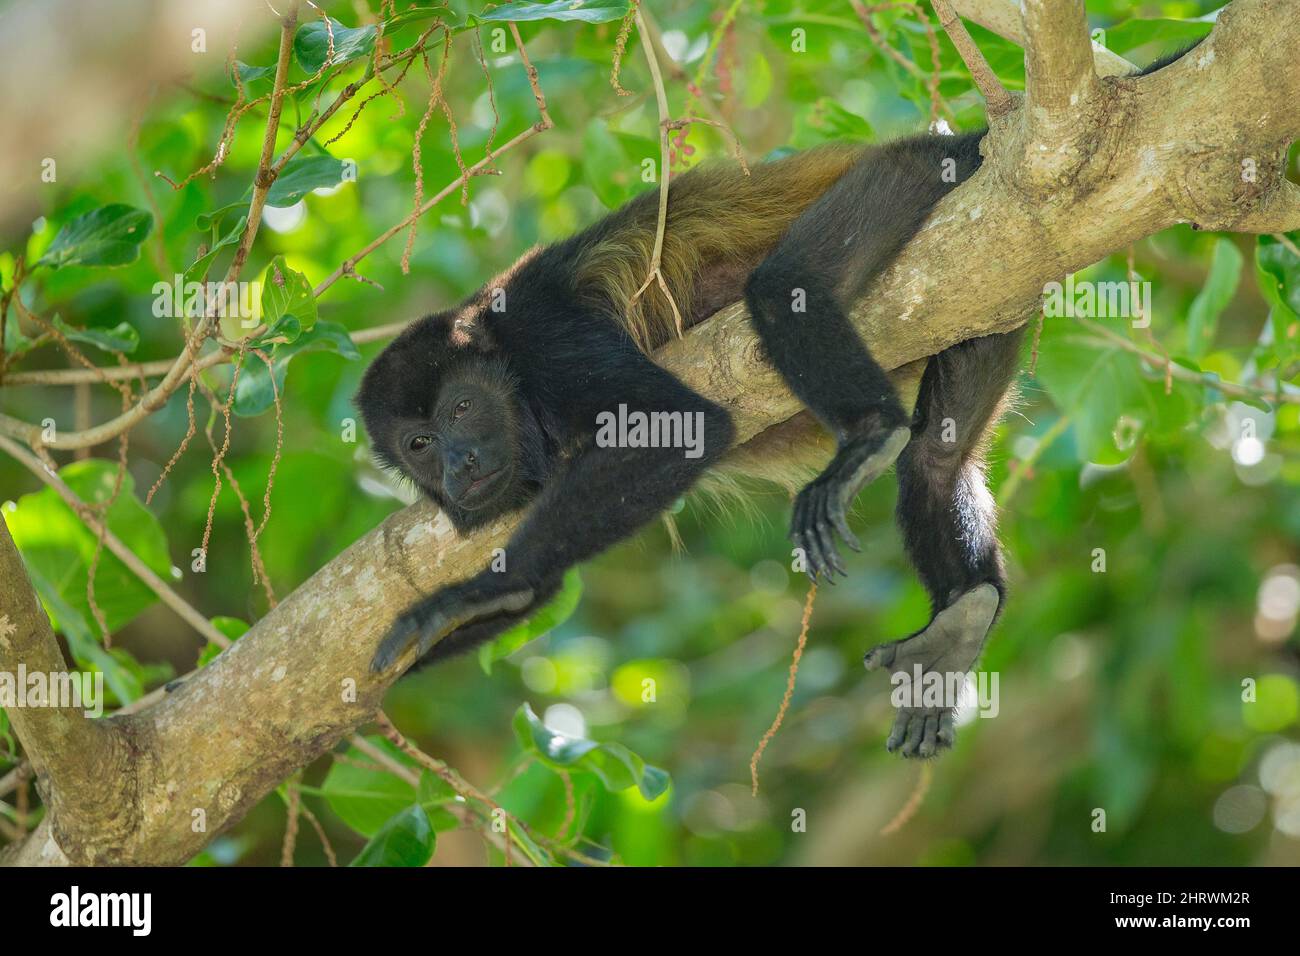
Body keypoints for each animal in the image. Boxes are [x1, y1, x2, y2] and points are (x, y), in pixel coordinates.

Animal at [355, 45, 1200, 758]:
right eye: (418, 446)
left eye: (460, 411)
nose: (458, 464)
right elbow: (548, 584)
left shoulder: (544, 330)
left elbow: (681, 431)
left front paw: (479, 592)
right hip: (994, 291)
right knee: (936, 461)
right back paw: (962, 615)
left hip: (918, 177)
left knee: (784, 285)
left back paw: (869, 435)